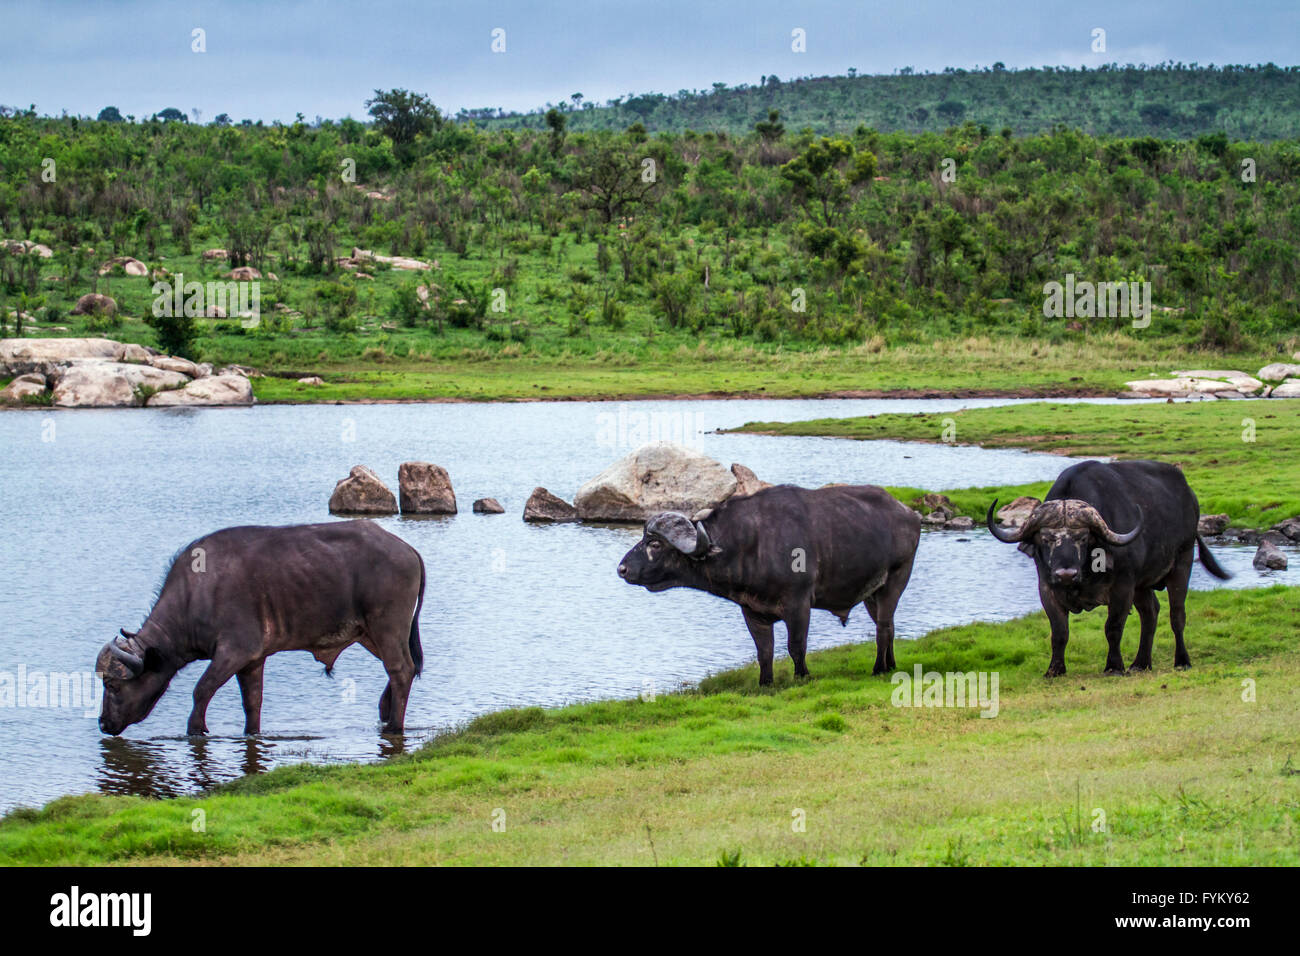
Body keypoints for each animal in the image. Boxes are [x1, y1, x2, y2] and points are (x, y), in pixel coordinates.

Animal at [96, 521, 425, 736]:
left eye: (112, 685)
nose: (102, 723)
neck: (197, 593)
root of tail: (406, 548)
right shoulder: (252, 660)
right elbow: (252, 702)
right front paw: (251, 732)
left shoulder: (235, 651)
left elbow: (201, 690)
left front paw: (196, 729)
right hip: (370, 634)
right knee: (402, 667)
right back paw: (385, 710)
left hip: (387, 626)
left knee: (401, 668)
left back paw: (395, 725)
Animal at [618, 484, 921, 684]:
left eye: (655, 544)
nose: (622, 568)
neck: (752, 544)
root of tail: (909, 514)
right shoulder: (753, 612)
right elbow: (764, 652)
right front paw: (766, 683)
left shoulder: (798, 604)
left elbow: (796, 645)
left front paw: (802, 676)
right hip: (872, 594)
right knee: (890, 626)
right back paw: (891, 665)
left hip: (896, 579)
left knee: (883, 627)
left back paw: (878, 668)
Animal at [987, 459, 1229, 677]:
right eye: (1046, 538)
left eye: (1083, 538)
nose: (1066, 574)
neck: (1085, 575)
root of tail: (1190, 496)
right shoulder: (1047, 588)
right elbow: (1059, 631)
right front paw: (1054, 670)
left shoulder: (1123, 586)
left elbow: (1113, 627)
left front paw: (1114, 667)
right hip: (1142, 585)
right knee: (1150, 612)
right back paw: (1141, 663)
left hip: (1182, 562)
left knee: (1176, 615)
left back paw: (1181, 661)